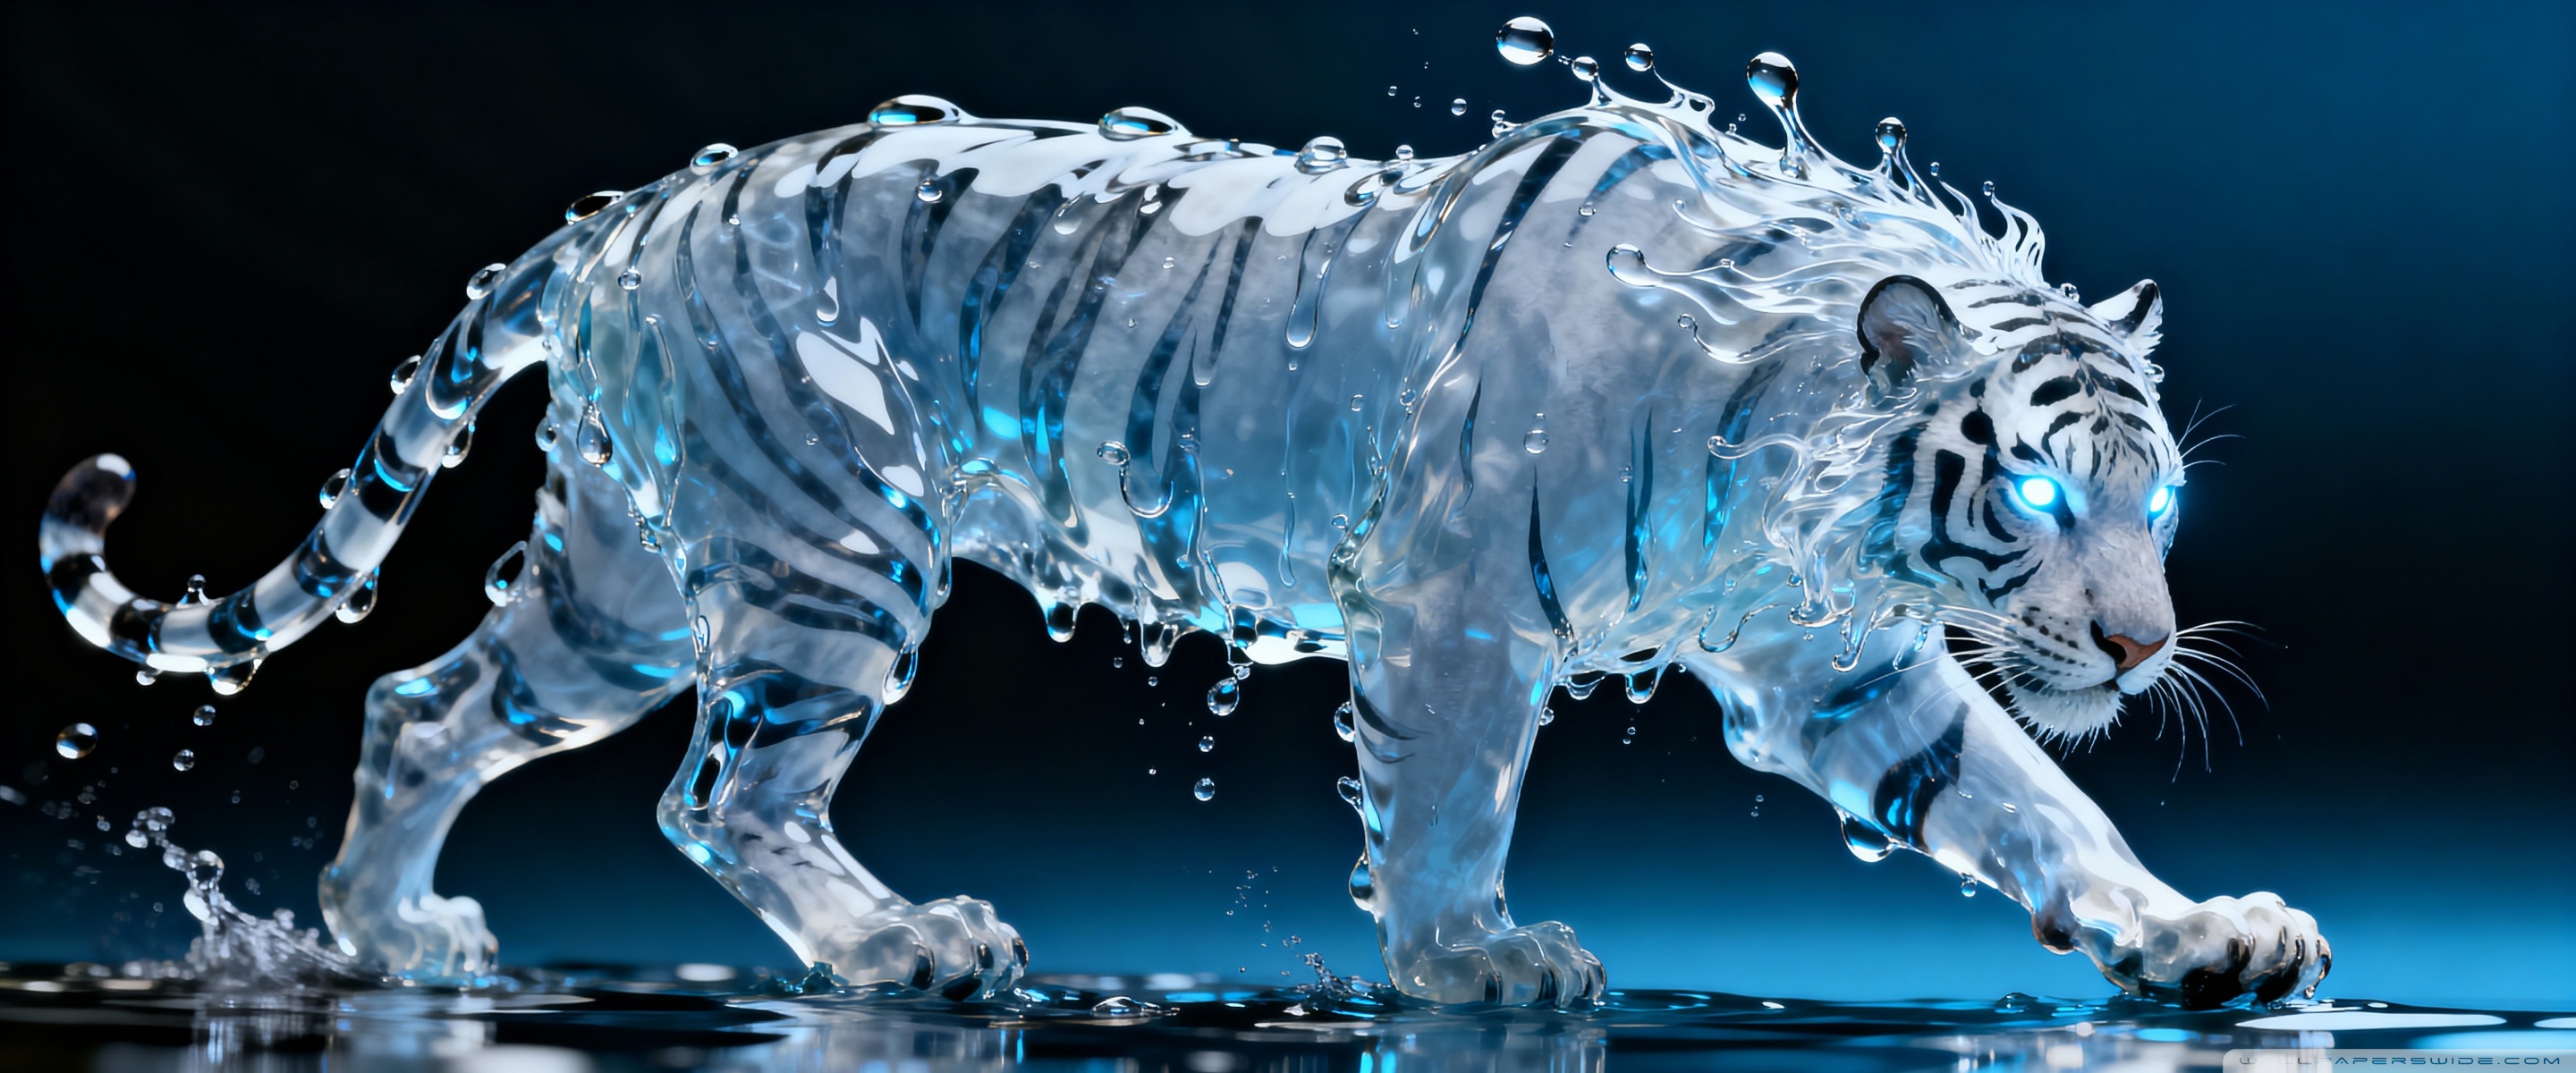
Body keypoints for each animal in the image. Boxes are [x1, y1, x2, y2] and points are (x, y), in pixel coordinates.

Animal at [38, 50, 2326, 1009]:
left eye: (2157, 506)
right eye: (2037, 494)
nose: (2142, 647)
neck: (1789, 439)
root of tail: (634, 209)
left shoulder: (1832, 658)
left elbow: (2030, 801)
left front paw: (2195, 931)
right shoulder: (1457, 612)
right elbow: (1451, 808)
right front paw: (1477, 963)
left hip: (624, 576)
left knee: (426, 702)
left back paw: (388, 934)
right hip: (822, 557)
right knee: (718, 797)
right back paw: (906, 949)